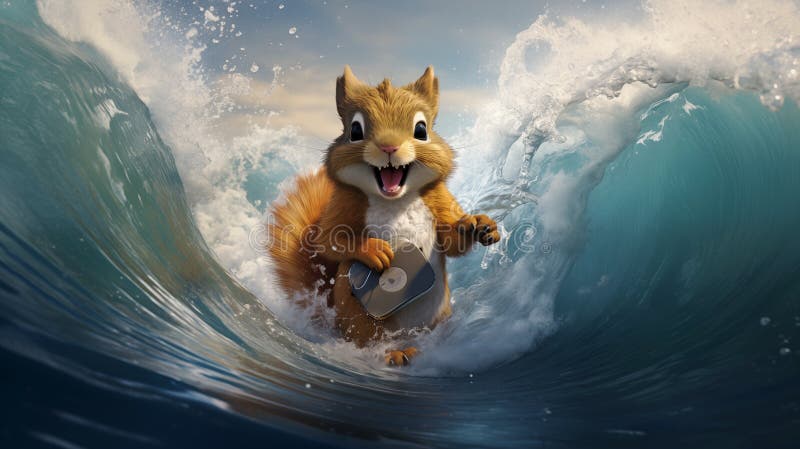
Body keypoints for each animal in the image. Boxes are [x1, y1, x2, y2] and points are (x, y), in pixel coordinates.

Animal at [267, 66, 500, 366]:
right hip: (360, 316)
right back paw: (396, 353)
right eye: (355, 130)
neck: (395, 200)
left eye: (421, 129)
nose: (389, 147)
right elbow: (328, 239)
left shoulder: (438, 200)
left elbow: (452, 243)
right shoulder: (345, 203)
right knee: (369, 341)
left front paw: (477, 225)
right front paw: (373, 250)